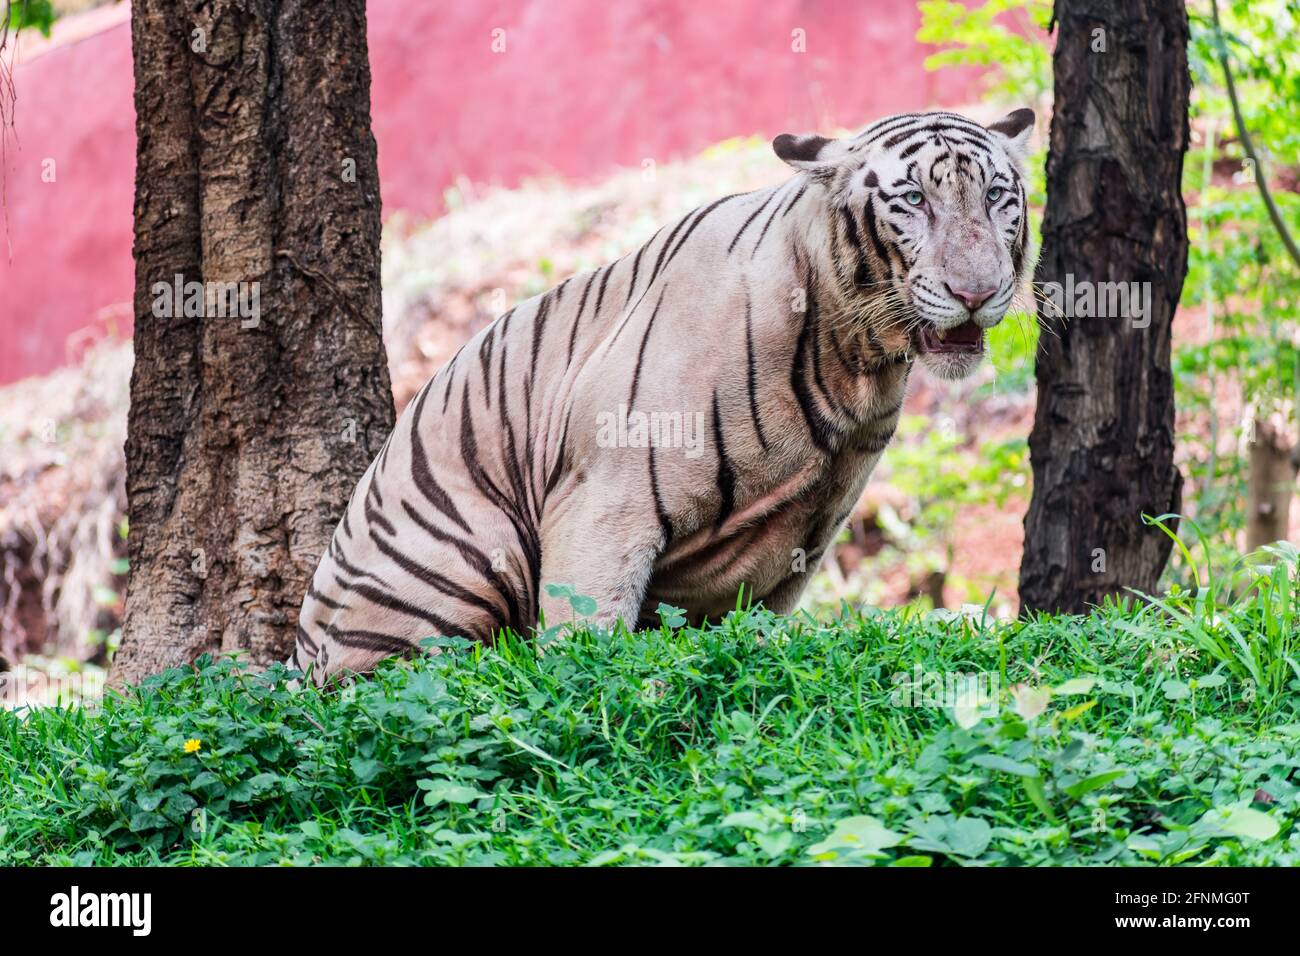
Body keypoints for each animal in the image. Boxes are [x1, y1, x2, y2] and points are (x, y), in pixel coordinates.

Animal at [291, 108, 1036, 684]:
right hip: (463, 554)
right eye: (913, 201)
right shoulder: (603, 504)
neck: (852, 355)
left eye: (997, 196)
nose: (977, 291)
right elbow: (586, 640)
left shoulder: (797, 543)